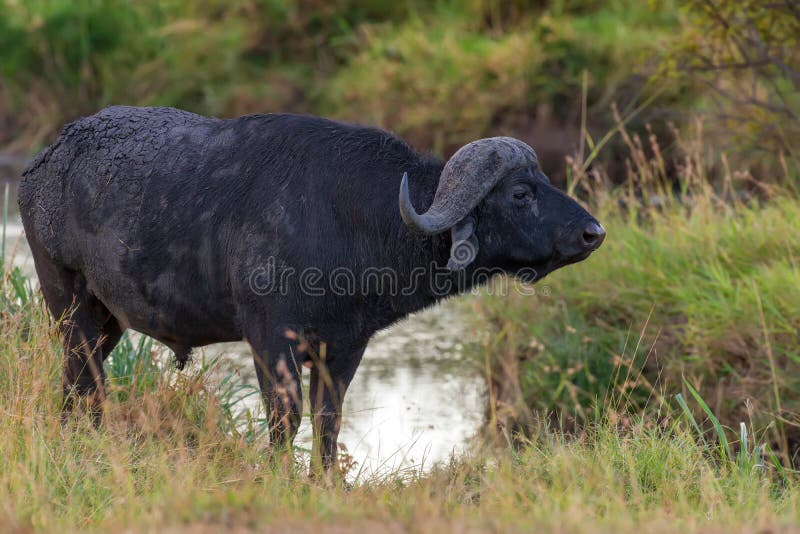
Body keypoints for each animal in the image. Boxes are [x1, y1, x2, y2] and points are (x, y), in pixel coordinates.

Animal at [19, 106, 604, 472]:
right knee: (83, 380)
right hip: (68, 302)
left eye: (544, 181)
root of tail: (43, 164)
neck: (349, 218)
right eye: (521, 192)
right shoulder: (268, 338)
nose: (593, 232)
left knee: (81, 384)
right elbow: (285, 418)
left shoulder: (345, 347)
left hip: (106, 321)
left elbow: (328, 421)